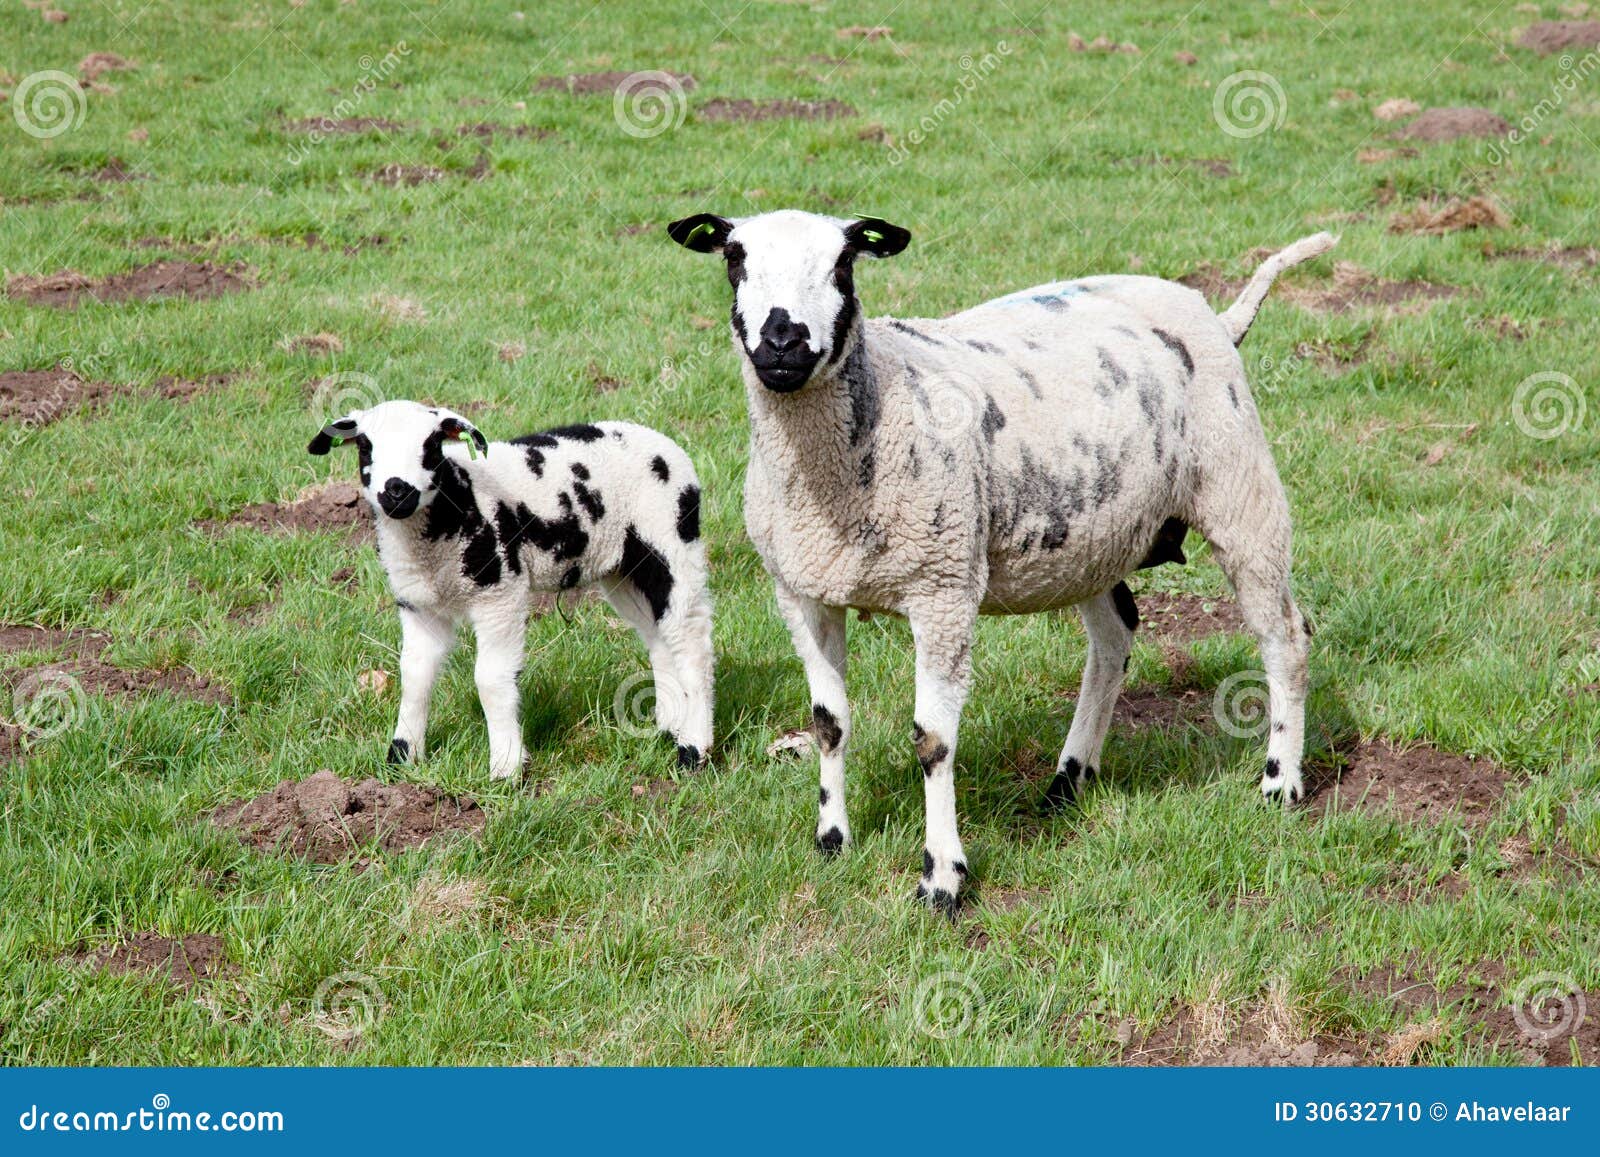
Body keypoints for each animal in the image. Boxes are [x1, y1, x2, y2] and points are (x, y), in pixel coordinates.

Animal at [307, 400, 714, 779]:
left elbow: (490, 680)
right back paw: (669, 725)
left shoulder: (499, 595)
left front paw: (506, 767)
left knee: (692, 642)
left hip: (671, 545)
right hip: (624, 570)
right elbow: (414, 676)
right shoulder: (419, 604)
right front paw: (402, 757)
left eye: (432, 445)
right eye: (365, 446)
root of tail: (664, 444)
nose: (397, 491)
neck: (456, 506)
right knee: (659, 638)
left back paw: (693, 750)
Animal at [667, 209, 1333, 914]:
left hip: (1240, 487)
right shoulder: (802, 591)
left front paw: (942, 878)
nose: (783, 341)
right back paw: (1068, 781)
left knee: (1285, 637)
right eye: (734, 259)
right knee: (1115, 637)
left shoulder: (942, 589)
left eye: (844, 265)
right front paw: (831, 839)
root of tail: (1217, 315)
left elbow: (932, 741)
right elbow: (828, 724)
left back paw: (1279, 783)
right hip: (1093, 535)